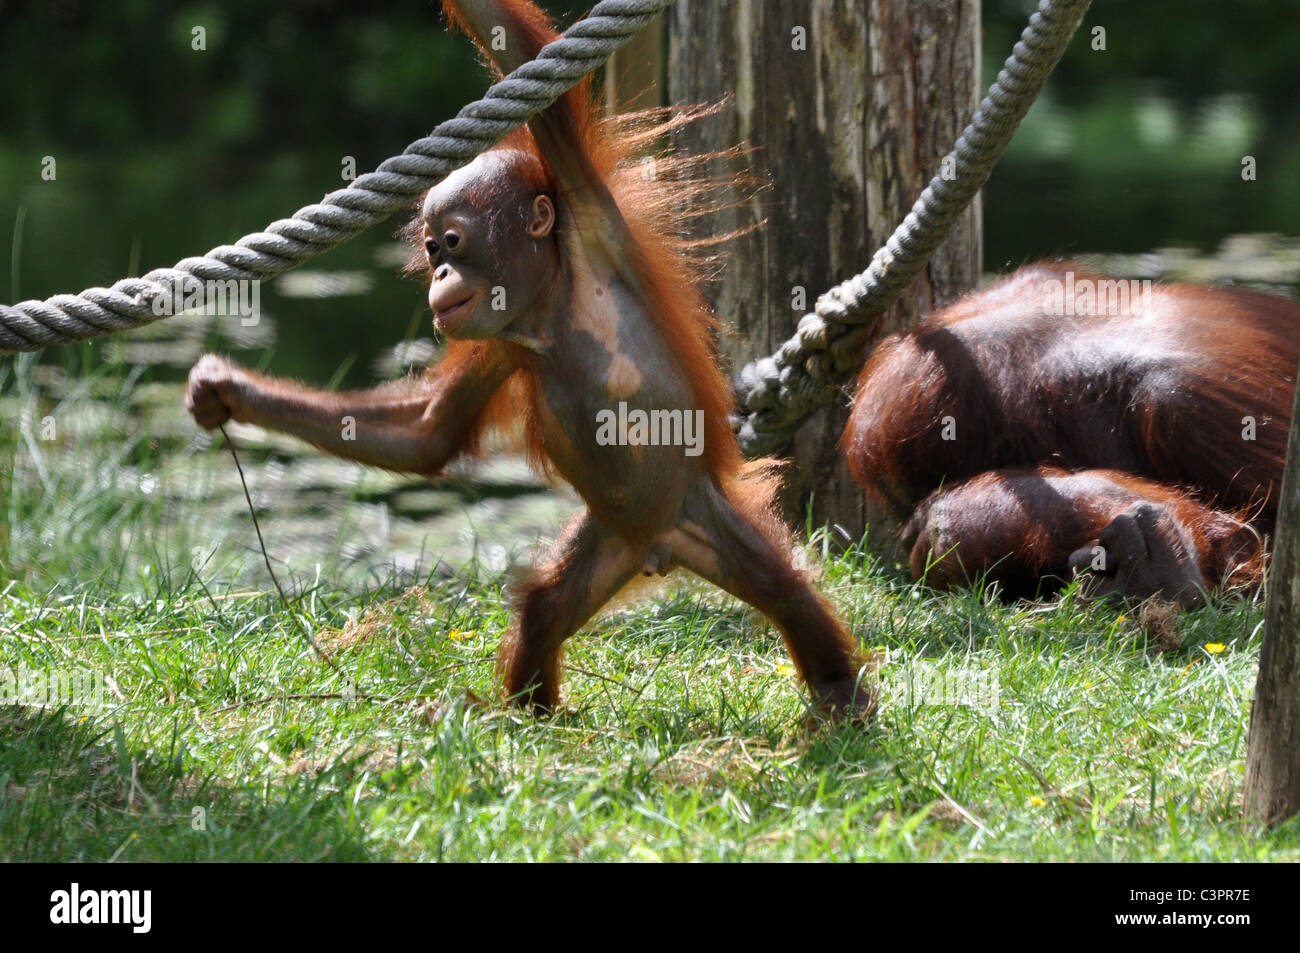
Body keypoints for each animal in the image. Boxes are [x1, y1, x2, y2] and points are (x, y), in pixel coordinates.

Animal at [185, 0, 874, 719]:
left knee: (784, 585)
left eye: (453, 242)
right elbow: (427, 433)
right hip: (610, 539)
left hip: (699, 511)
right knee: (545, 604)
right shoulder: (501, 342)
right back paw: (532, 712)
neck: (552, 304)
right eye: (431, 249)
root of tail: (661, 547)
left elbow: (528, 68)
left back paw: (839, 692)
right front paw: (225, 391)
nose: (439, 276)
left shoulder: (588, 214)